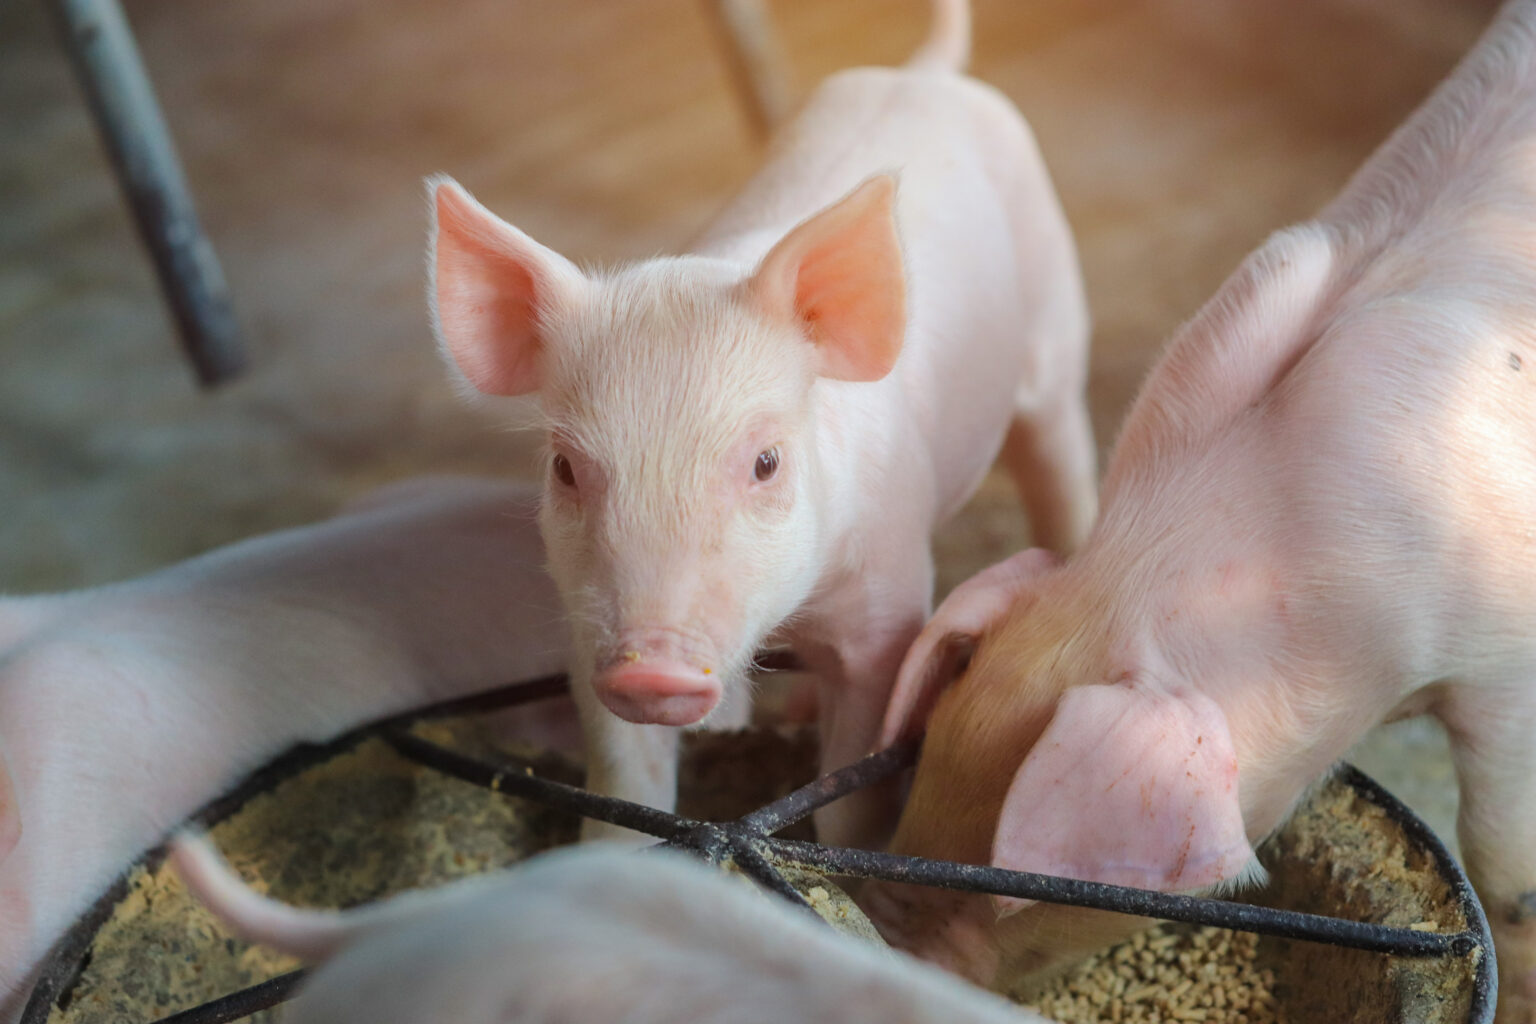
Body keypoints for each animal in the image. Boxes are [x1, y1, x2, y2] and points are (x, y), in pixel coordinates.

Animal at [427, 0, 1096, 849]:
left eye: (767, 462)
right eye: (566, 468)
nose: (653, 667)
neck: (787, 622)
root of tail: (927, 70)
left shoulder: (889, 602)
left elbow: (850, 785)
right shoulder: (584, 618)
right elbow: (624, 783)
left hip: (1054, 334)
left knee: (1057, 459)